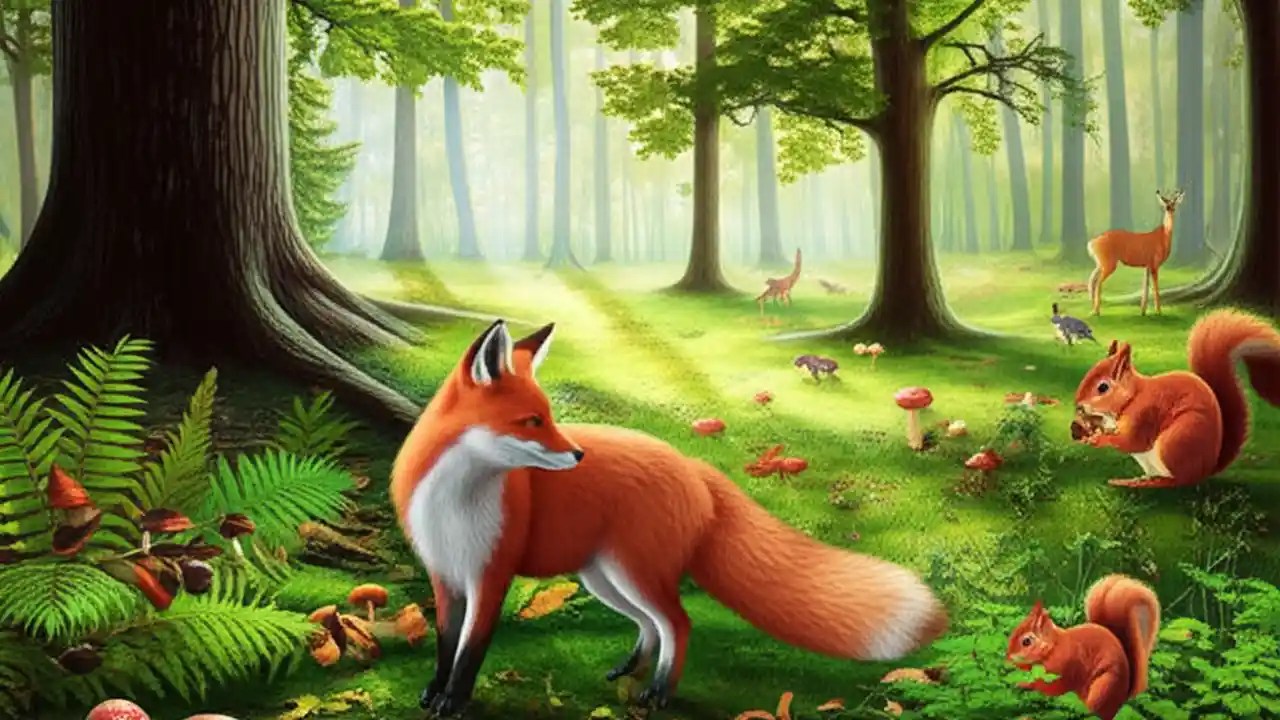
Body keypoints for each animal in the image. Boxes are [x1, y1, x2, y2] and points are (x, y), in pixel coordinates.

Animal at [390, 320, 949, 717]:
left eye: (549, 417)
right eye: (532, 421)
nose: (577, 455)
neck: (453, 501)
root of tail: (692, 464)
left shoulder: (492, 572)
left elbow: (471, 650)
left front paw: (454, 703)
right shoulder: (446, 576)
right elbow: (447, 645)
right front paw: (433, 693)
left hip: (630, 570)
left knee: (676, 622)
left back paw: (659, 693)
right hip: (604, 576)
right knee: (651, 624)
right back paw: (631, 671)